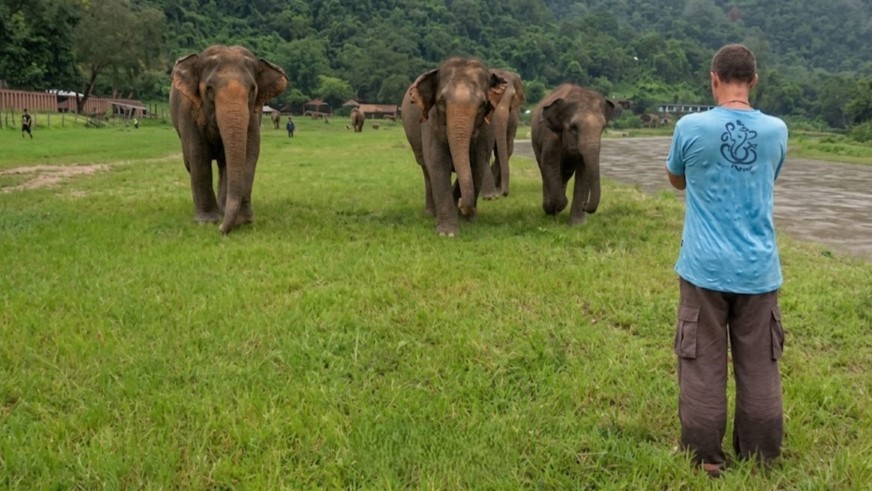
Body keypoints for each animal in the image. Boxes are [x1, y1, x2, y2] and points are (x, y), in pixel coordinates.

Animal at [169, 45, 288, 234]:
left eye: (252, 90)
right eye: (209, 89)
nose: (221, 229)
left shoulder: (253, 116)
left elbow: (249, 153)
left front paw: (243, 220)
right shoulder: (189, 113)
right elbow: (199, 157)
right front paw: (207, 222)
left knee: (224, 164)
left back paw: (223, 209)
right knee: (190, 162)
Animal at [401, 57, 508, 236]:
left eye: (482, 105)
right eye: (442, 102)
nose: (461, 205)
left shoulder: (486, 128)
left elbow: (477, 165)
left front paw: (467, 219)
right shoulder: (431, 123)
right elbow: (437, 164)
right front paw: (448, 233)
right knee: (426, 169)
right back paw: (431, 213)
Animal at [531, 84, 616, 226]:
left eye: (603, 128)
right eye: (574, 128)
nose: (585, 205)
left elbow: (584, 170)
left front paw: (577, 225)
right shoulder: (551, 137)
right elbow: (549, 163)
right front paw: (555, 207)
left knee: (565, 174)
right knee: (544, 170)